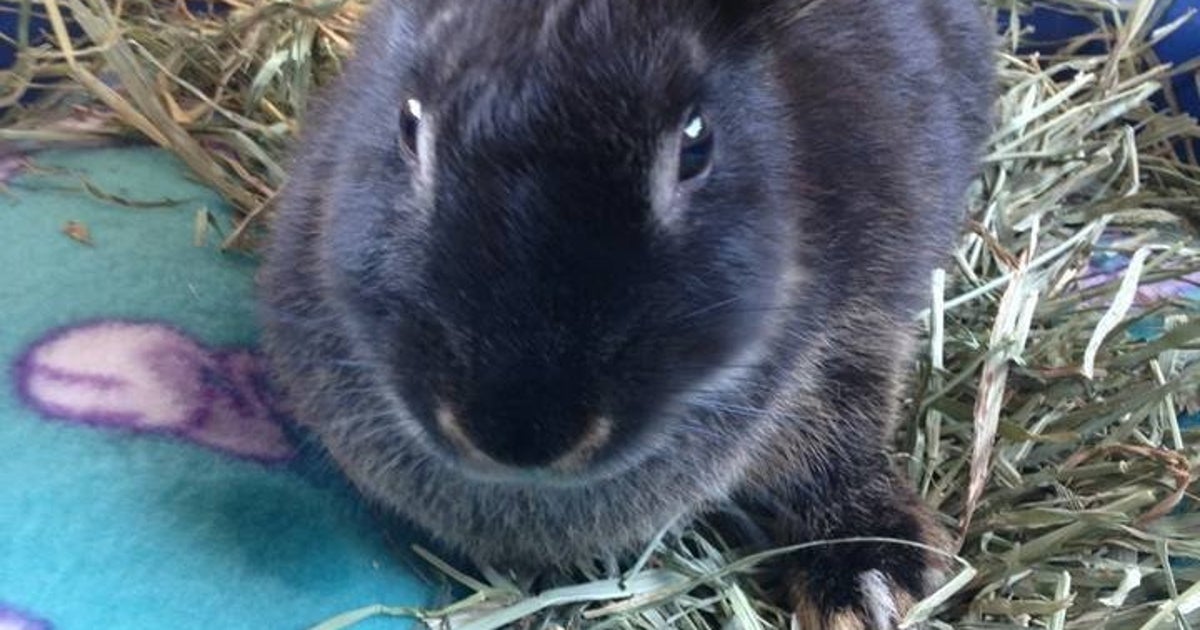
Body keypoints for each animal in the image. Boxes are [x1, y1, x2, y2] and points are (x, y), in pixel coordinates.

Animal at [259, 0, 995, 627]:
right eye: (409, 124)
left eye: (696, 145)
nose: (517, 431)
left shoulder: (863, 322)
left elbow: (841, 433)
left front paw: (869, 578)